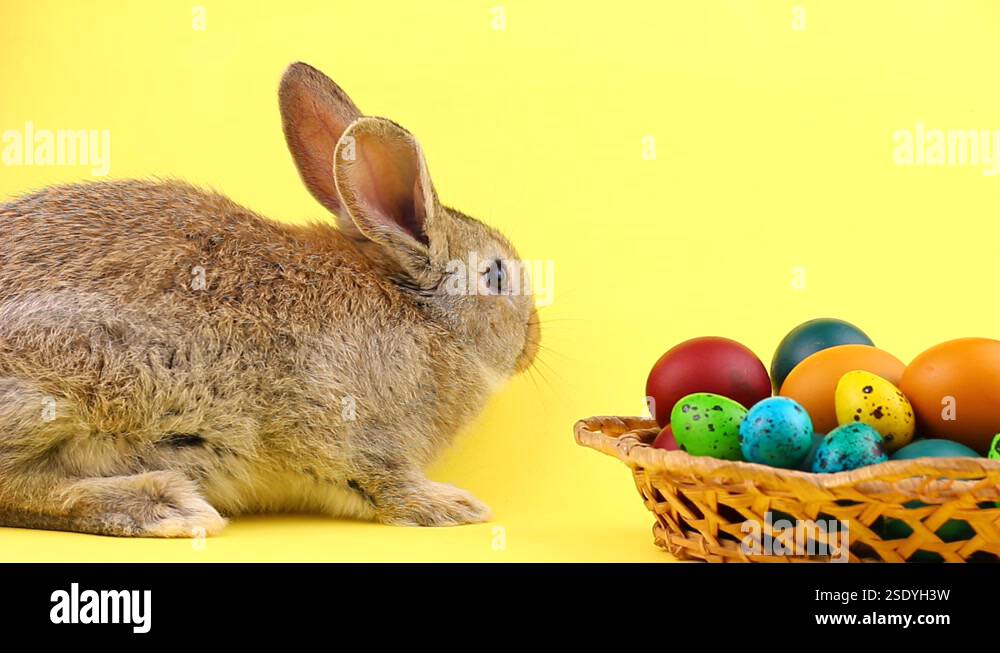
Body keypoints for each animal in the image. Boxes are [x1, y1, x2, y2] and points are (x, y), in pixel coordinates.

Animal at [0, 62, 540, 537]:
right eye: (496, 275)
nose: (531, 346)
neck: (423, 314)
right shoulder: (354, 434)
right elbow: (389, 485)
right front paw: (452, 506)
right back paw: (164, 508)